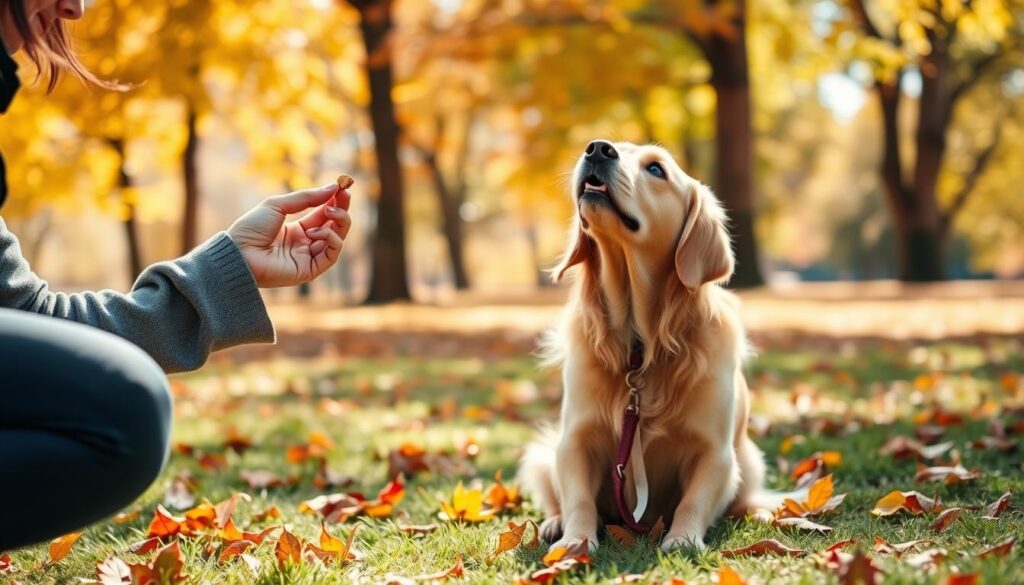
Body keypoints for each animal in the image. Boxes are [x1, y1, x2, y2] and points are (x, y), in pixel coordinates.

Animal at [516, 139, 786, 553]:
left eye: (656, 169)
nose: (597, 149)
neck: (640, 342)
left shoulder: (717, 451)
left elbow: (695, 498)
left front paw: (684, 539)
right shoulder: (573, 438)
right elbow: (578, 497)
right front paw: (576, 540)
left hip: (750, 458)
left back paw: (756, 512)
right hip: (543, 455)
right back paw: (553, 524)